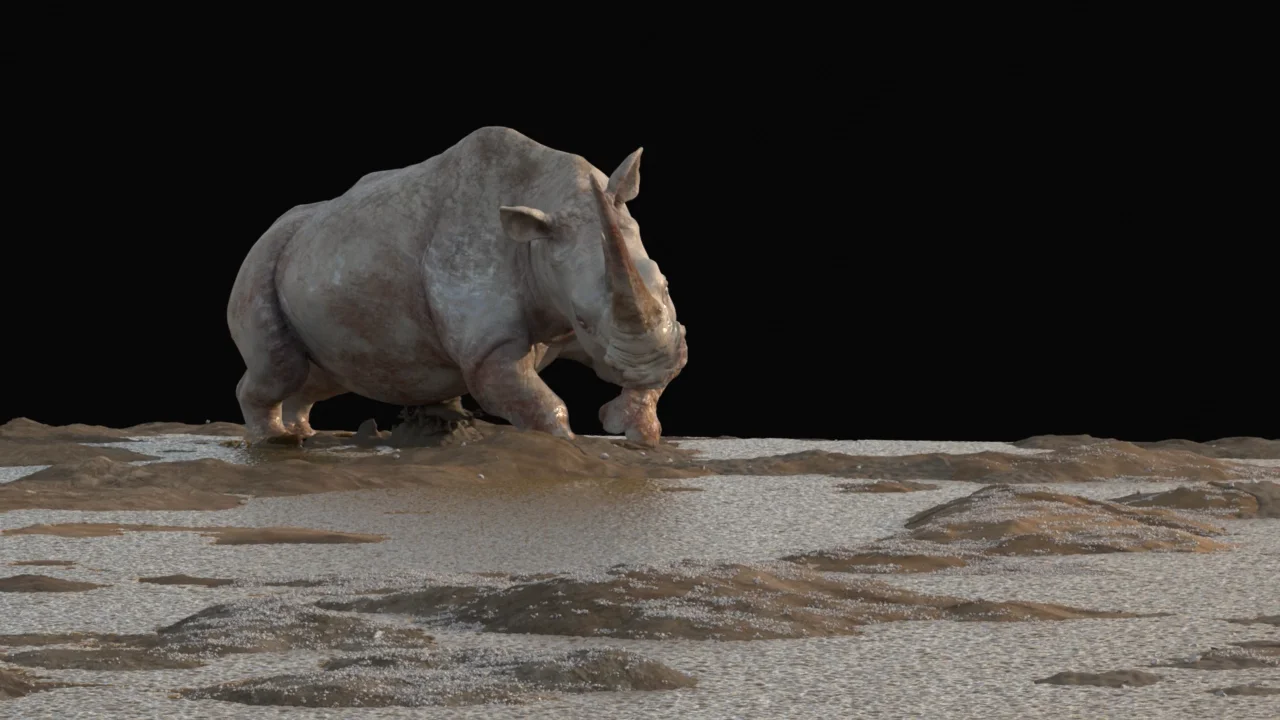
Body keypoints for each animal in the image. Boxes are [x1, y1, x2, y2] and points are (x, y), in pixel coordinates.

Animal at [226, 126, 688, 447]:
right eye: (582, 317)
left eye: (666, 285)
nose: (653, 363)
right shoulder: (489, 346)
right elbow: (536, 401)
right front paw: (567, 451)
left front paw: (640, 433)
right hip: (260, 262)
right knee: (282, 368)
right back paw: (277, 442)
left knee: (323, 377)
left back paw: (306, 433)